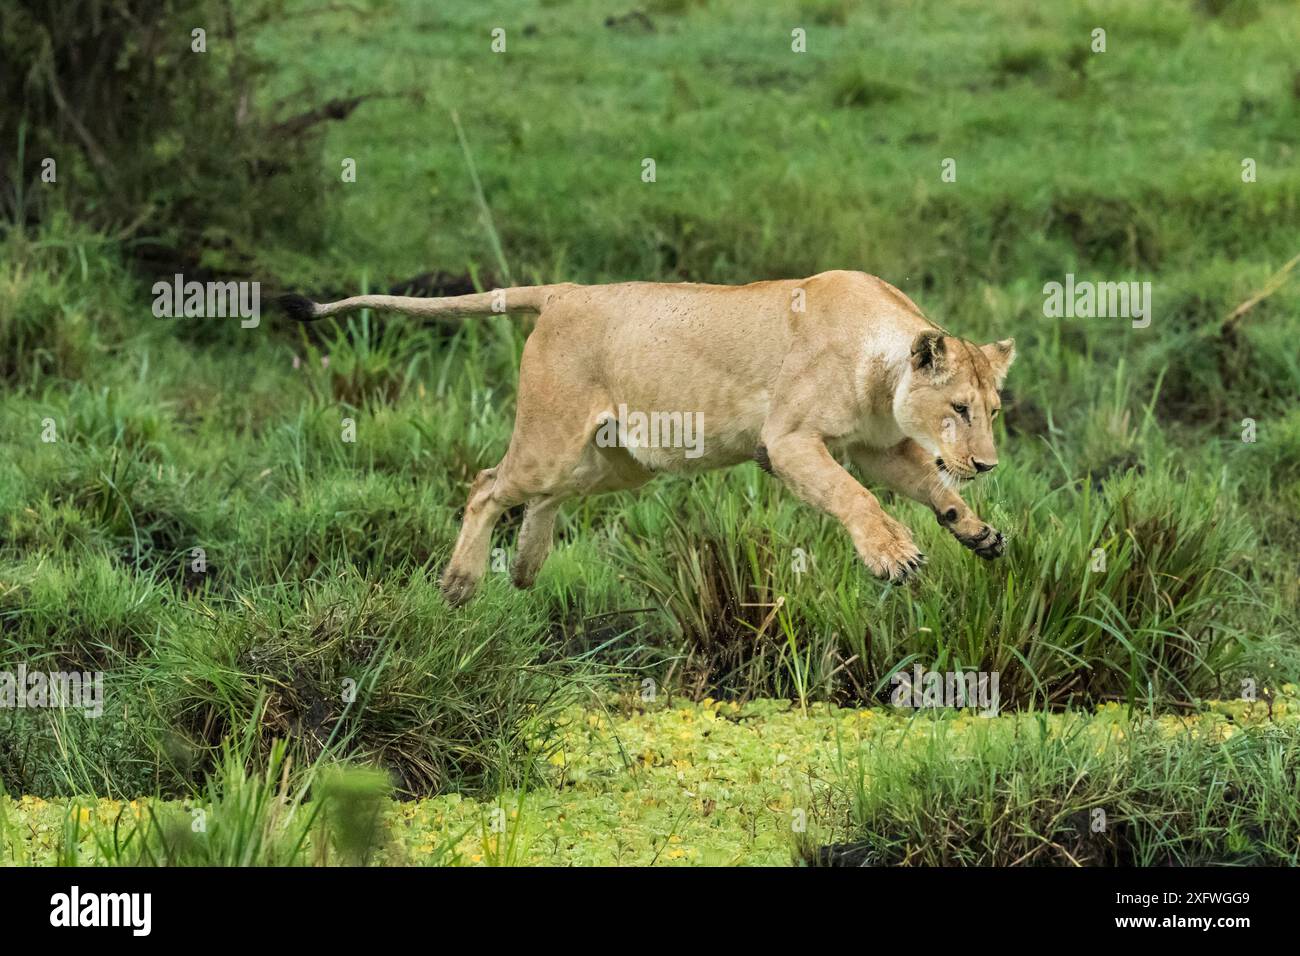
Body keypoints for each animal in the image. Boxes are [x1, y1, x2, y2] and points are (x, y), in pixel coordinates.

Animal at [281, 270, 1015, 606]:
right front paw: (893, 556)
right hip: (552, 442)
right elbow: (853, 497)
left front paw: (975, 530)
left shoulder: (874, 445)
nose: (987, 464)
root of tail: (563, 291)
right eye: (957, 407)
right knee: (488, 485)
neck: (884, 367)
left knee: (544, 497)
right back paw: (461, 583)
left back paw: (525, 569)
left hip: (619, 460)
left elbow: (928, 481)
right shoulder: (786, 442)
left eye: (993, 410)